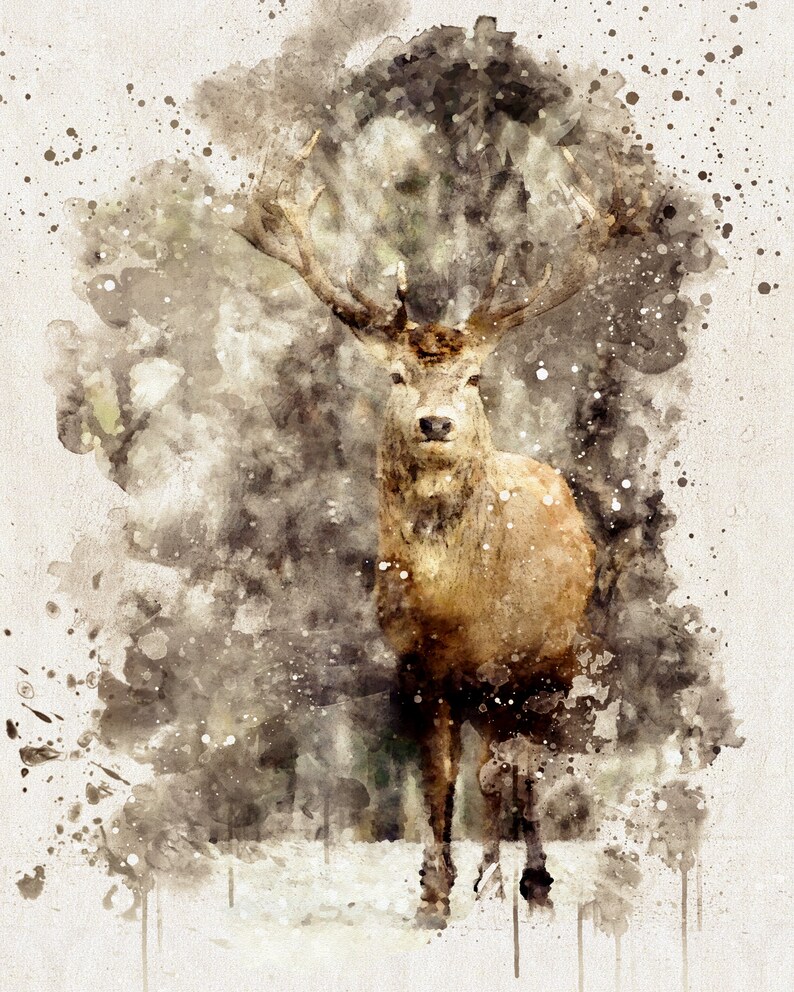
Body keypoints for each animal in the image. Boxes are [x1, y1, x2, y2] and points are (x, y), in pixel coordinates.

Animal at [237, 130, 647, 924]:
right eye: (397, 377)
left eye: (475, 378)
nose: (435, 422)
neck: (463, 609)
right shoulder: (420, 672)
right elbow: (438, 779)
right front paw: (434, 891)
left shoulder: (530, 666)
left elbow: (515, 774)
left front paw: (528, 885)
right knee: (491, 765)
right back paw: (489, 873)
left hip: (556, 665)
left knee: (517, 767)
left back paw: (522, 878)